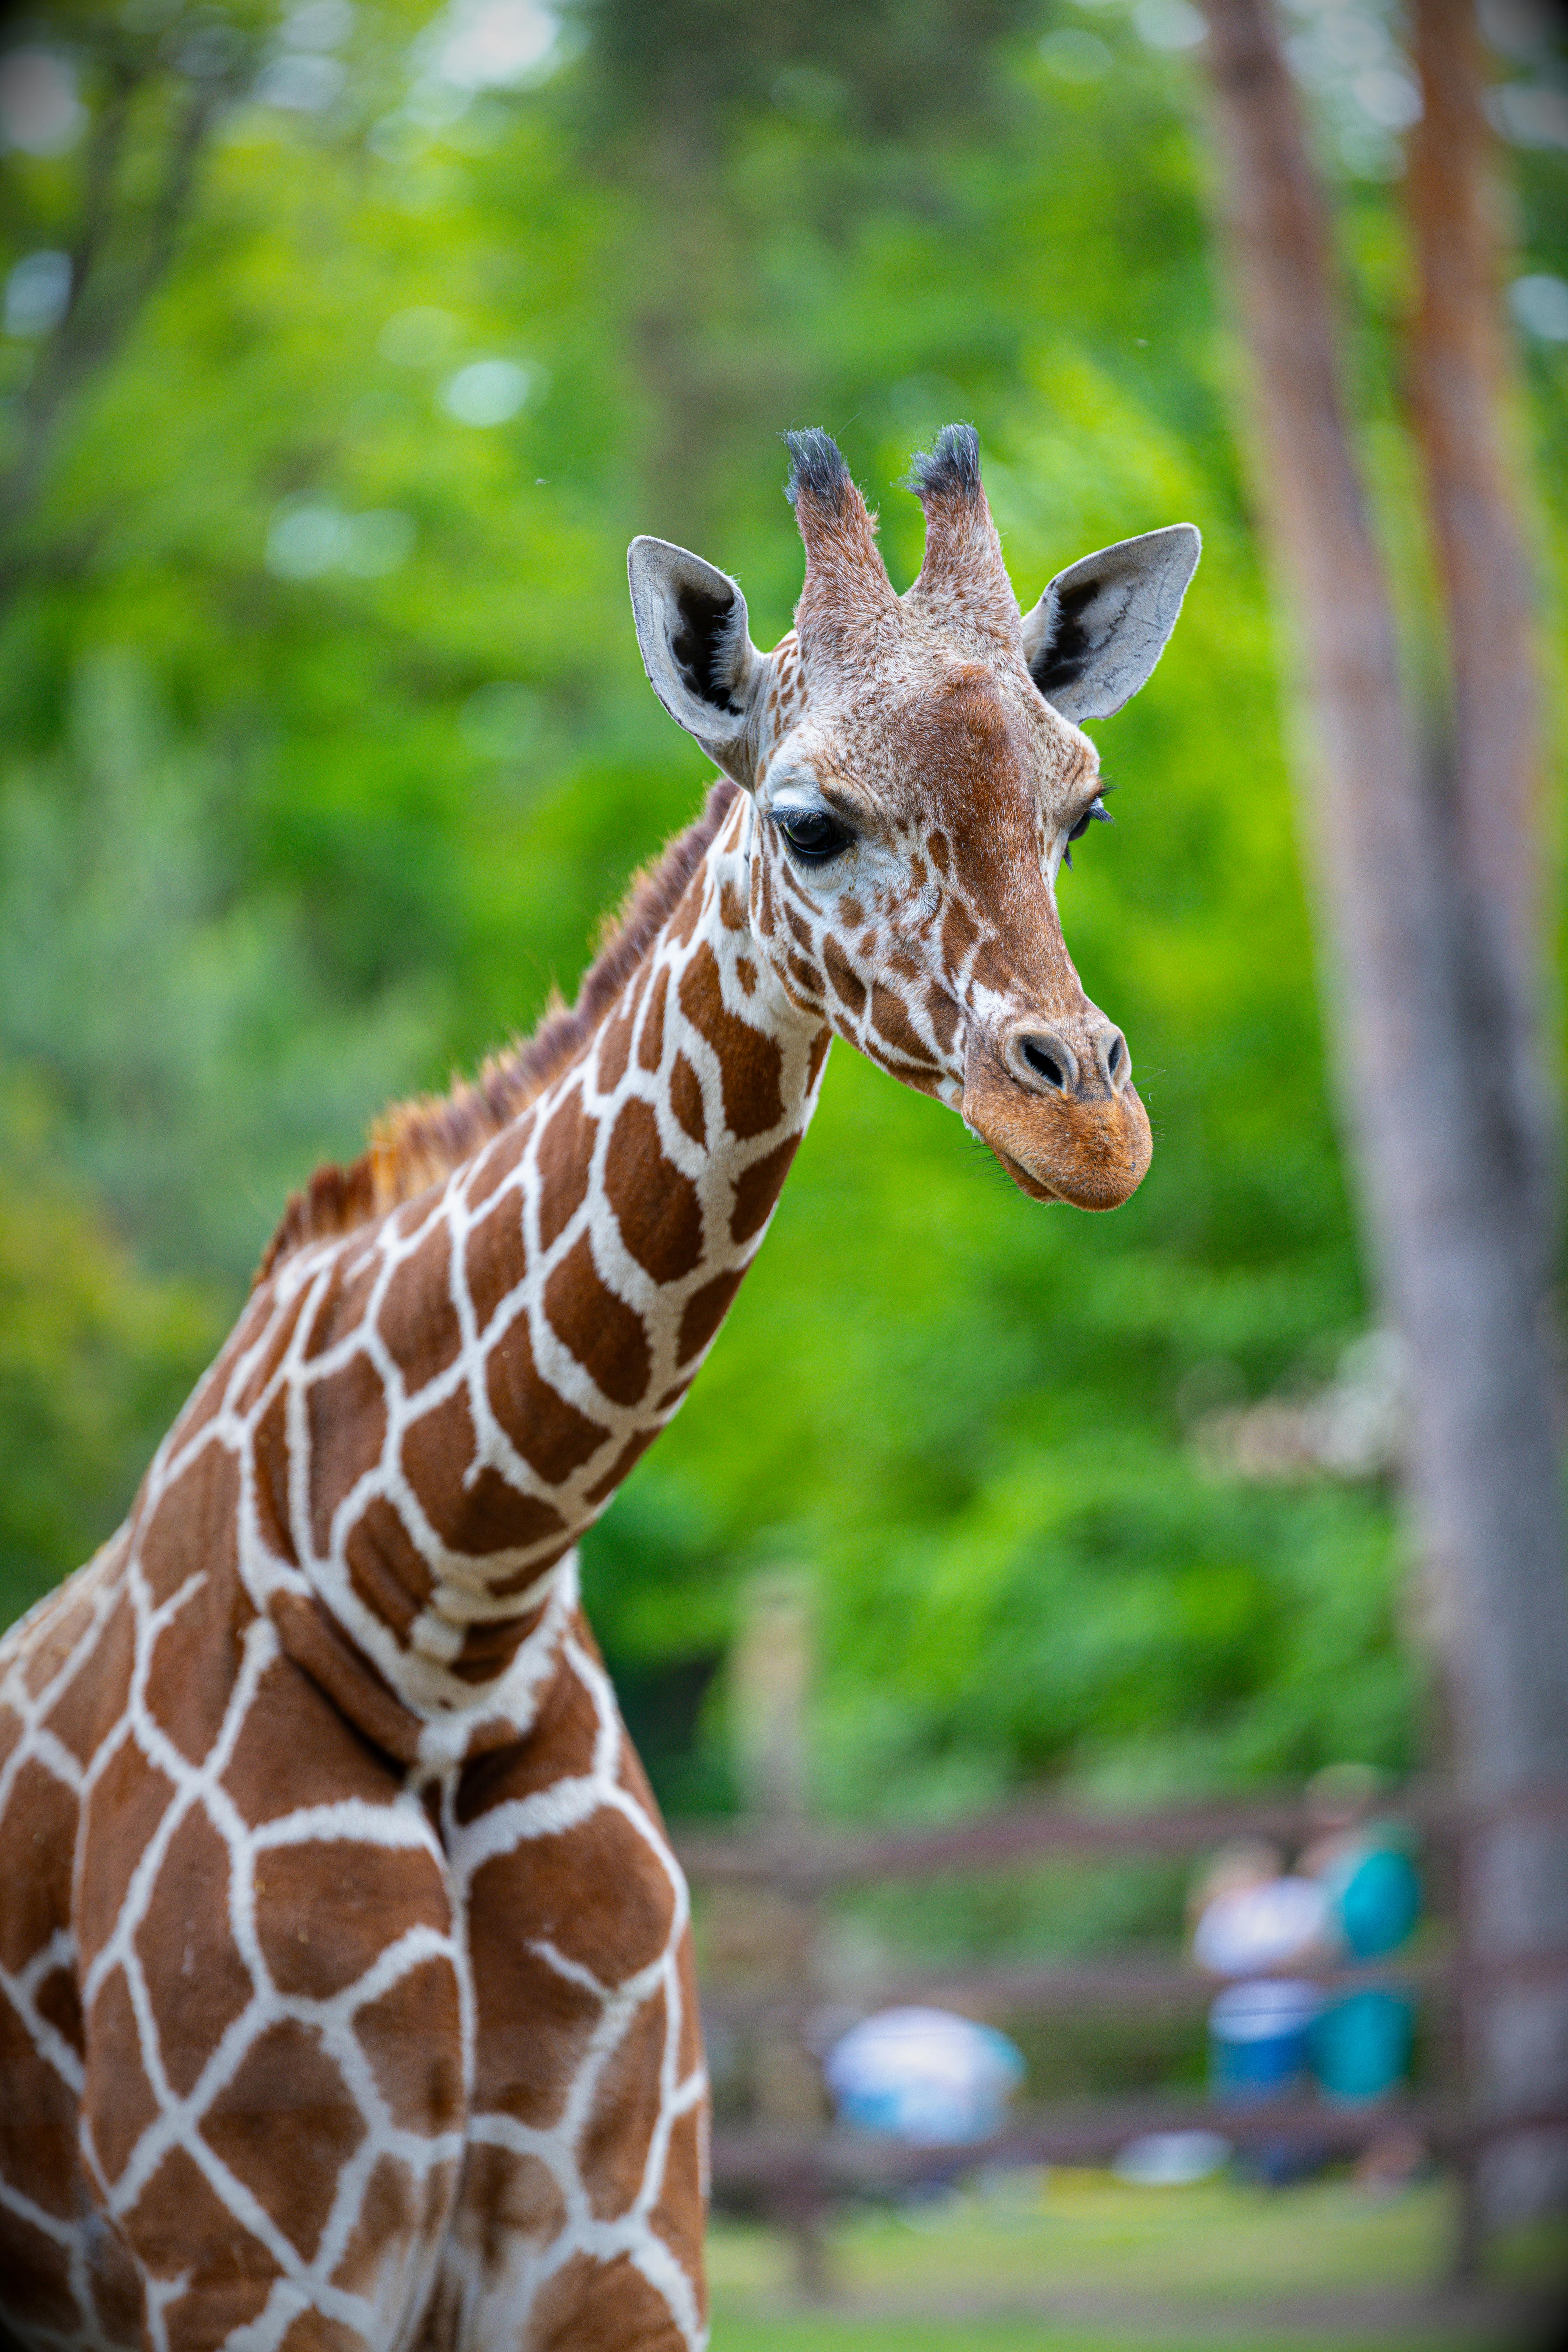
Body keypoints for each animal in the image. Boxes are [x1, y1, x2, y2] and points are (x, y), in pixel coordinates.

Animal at [0, 425, 1197, 2351]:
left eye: (1077, 810)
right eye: (807, 819)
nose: (1084, 1118)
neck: (439, 1601)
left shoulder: (617, 2250)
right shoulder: (250, 2266)